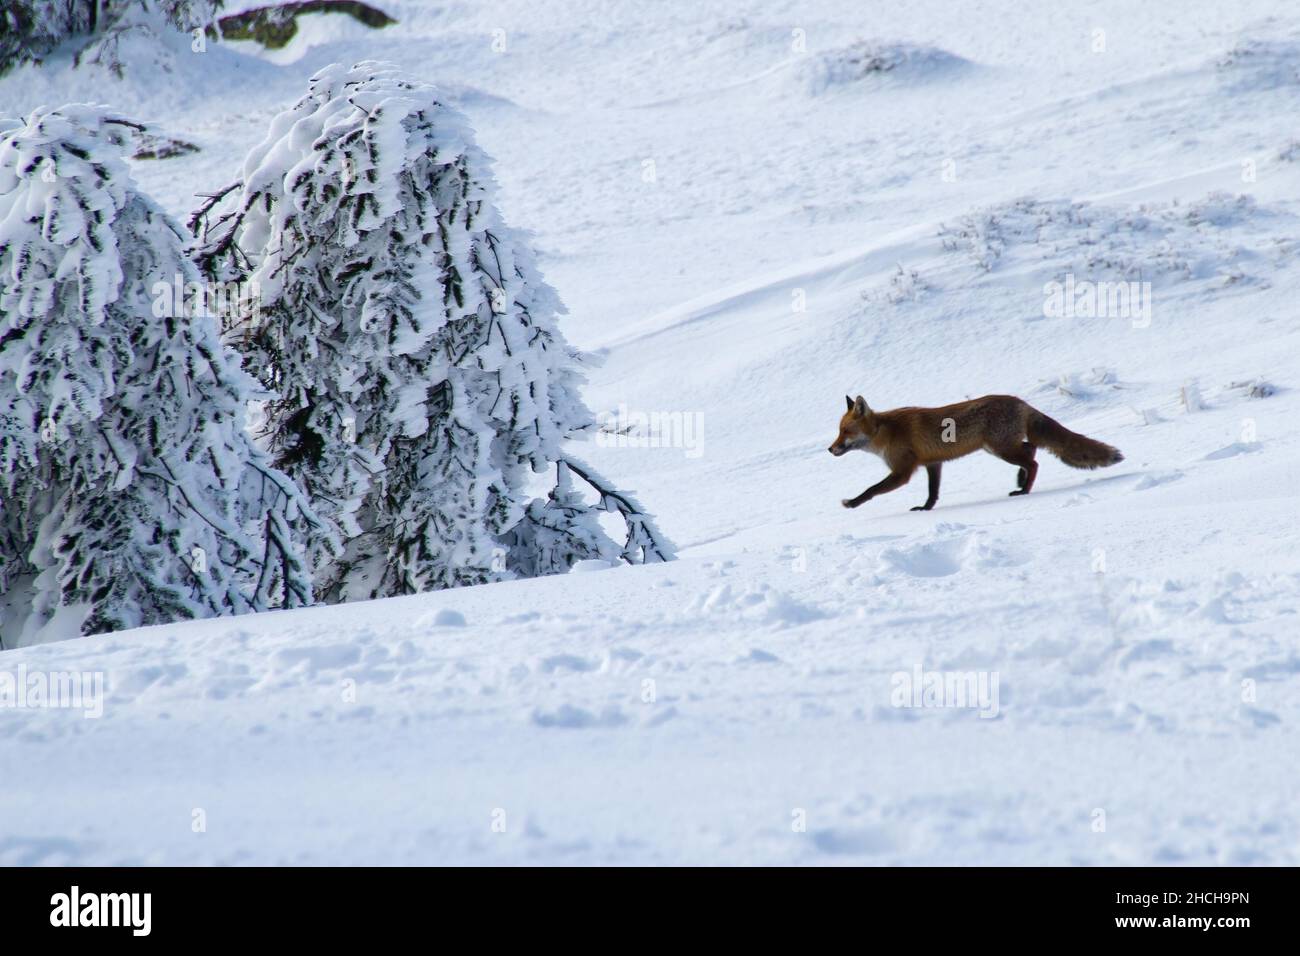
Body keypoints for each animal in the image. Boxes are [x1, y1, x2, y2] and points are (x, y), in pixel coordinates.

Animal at [829, 394, 1123, 511]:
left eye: (845, 431)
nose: (830, 449)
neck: (885, 431)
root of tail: (1021, 402)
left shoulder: (902, 471)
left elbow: (871, 490)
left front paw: (852, 503)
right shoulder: (933, 464)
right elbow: (933, 492)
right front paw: (925, 509)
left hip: (1000, 449)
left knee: (1034, 461)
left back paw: (1023, 490)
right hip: (1001, 448)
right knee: (1032, 451)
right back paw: (1020, 481)